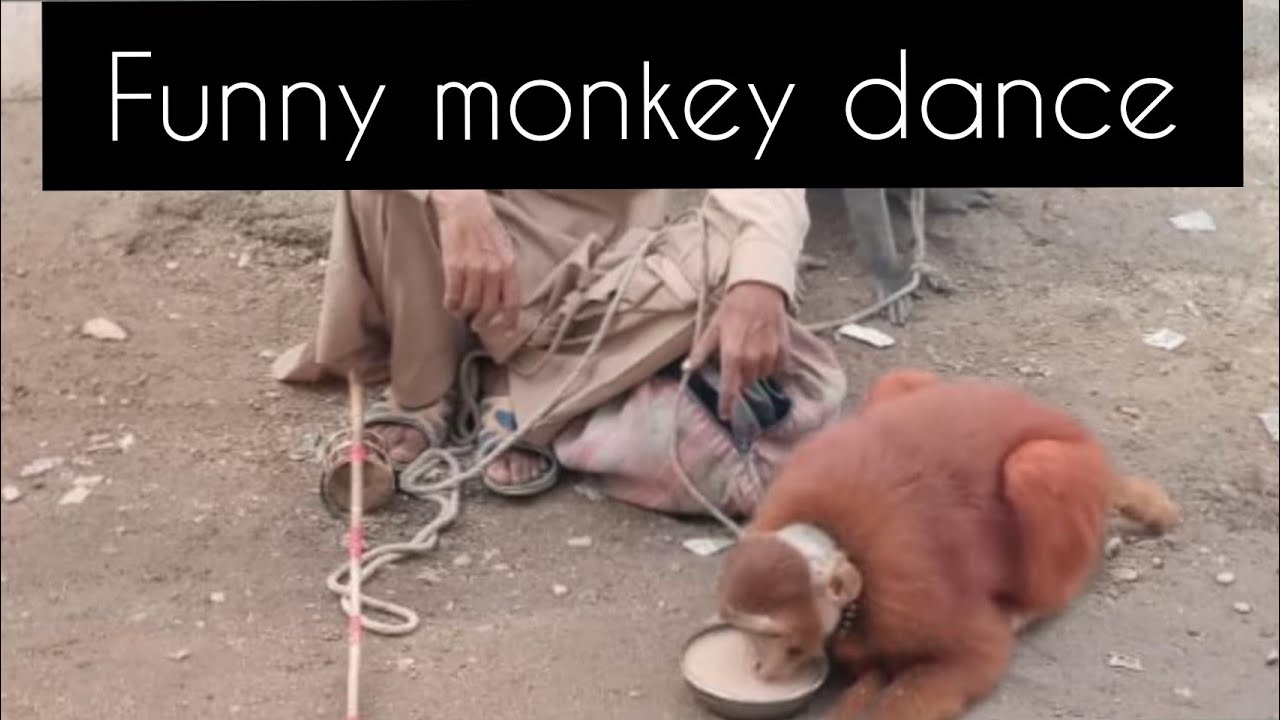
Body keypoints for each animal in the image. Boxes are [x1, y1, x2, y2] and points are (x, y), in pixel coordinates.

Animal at [715, 368, 1179, 720]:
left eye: (775, 635)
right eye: (746, 631)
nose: (758, 666)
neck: (842, 542)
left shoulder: (909, 598)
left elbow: (977, 655)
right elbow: (870, 666)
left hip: (1080, 472)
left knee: (1034, 467)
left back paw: (1030, 606)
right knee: (897, 380)